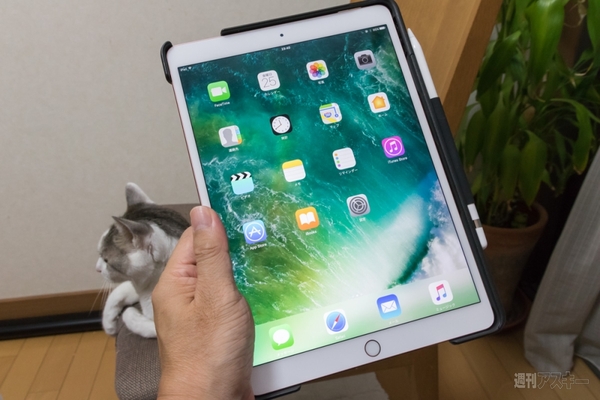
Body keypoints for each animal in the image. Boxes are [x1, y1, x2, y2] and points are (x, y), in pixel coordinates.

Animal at [96, 183, 189, 338]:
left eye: (106, 260)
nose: (96, 268)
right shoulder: (139, 284)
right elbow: (121, 290)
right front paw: (109, 323)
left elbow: (132, 317)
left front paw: (130, 313)